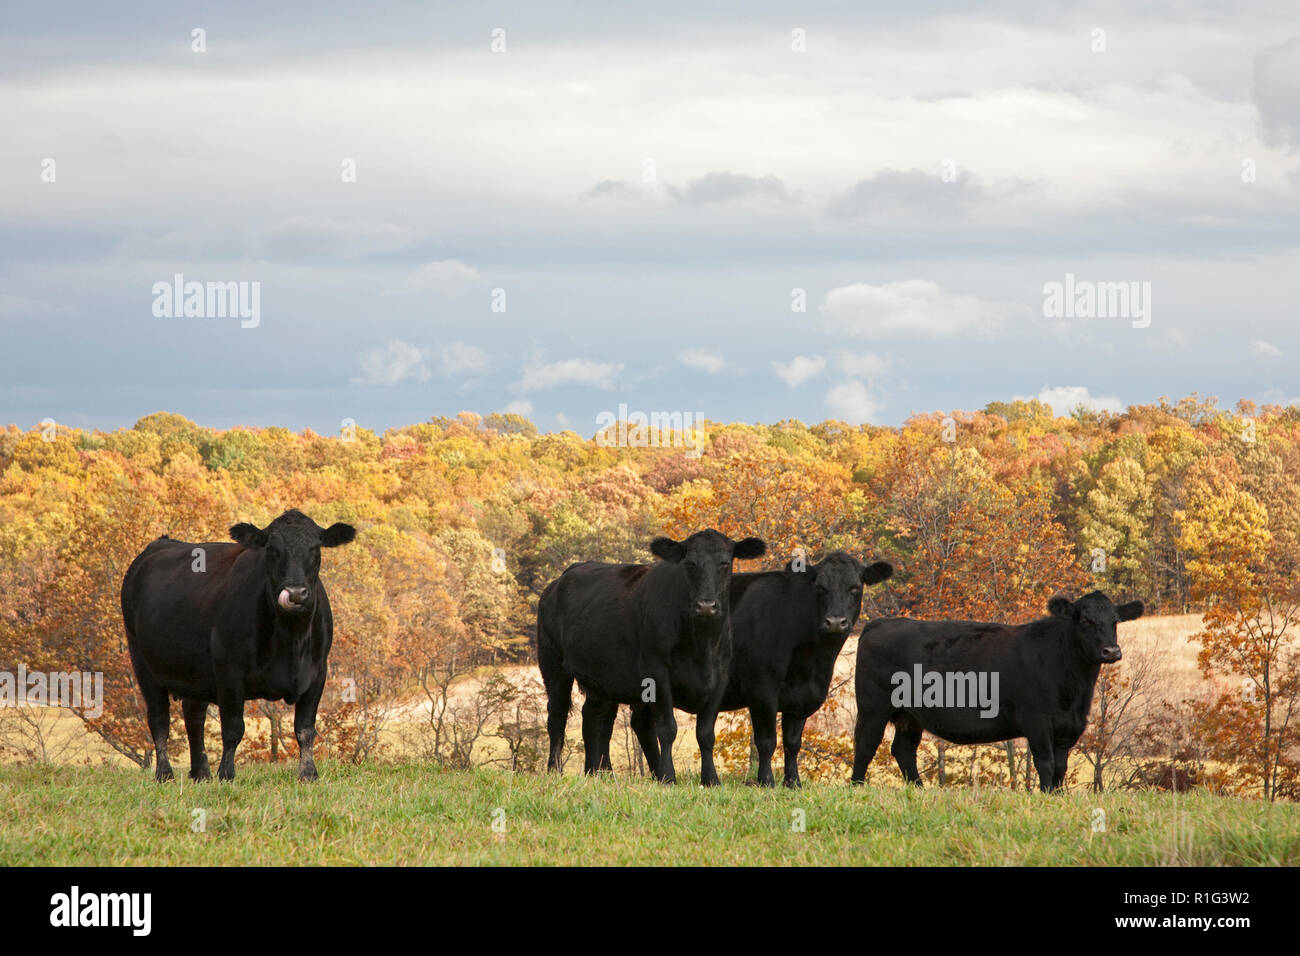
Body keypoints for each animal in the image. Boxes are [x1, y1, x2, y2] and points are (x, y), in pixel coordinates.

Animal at [120, 509, 356, 783]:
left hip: (195, 672)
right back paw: (165, 773)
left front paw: (308, 774)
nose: (296, 593)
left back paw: (201, 773)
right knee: (159, 719)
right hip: (142, 662)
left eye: (315, 549)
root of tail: (160, 543)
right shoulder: (229, 671)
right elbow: (233, 728)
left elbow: (305, 729)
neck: (292, 639)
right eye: (272, 550)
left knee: (193, 715)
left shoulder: (318, 673)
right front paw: (226, 774)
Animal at [535, 529, 766, 785]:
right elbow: (667, 728)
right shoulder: (658, 673)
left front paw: (711, 779)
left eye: (725, 563)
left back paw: (598, 773)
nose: (706, 606)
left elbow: (706, 733)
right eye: (690, 563)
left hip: (601, 675)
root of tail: (565, 575)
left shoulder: (719, 677)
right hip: (553, 664)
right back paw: (554, 770)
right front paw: (668, 776)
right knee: (557, 716)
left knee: (595, 718)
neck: (702, 646)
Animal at [851, 590, 1143, 792]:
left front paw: (1058, 796)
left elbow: (1060, 767)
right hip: (873, 707)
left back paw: (920, 790)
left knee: (903, 750)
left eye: (1115, 621)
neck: (1074, 692)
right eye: (1085, 621)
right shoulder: (1037, 722)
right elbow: (1045, 762)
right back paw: (856, 787)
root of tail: (880, 623)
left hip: (910, 715)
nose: (1110, 651)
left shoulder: (1069, 727)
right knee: (866, 744)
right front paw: (1046, 795)